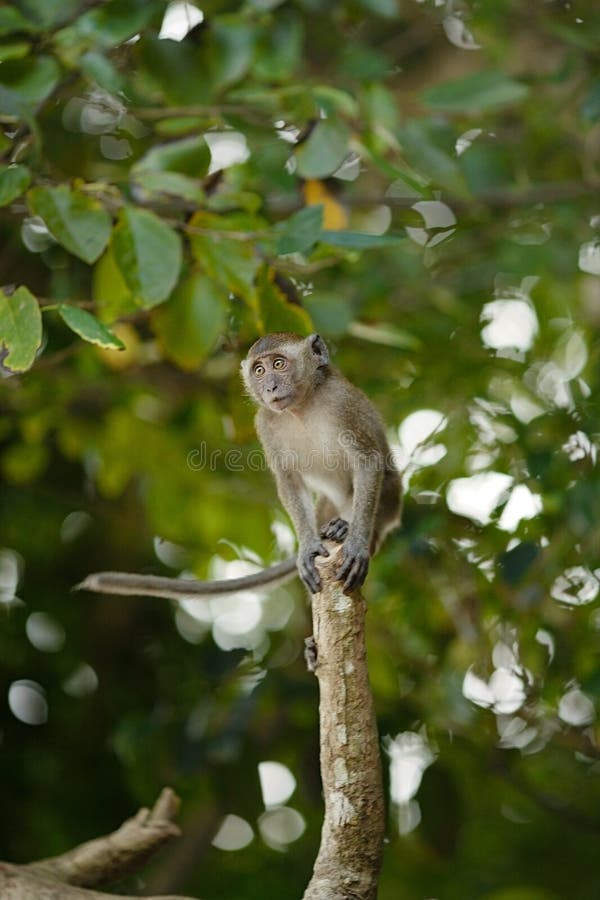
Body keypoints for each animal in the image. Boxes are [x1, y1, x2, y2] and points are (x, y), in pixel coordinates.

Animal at [78, 333, 401, 600]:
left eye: (279, 364)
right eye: (259, 371)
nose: (270, 386)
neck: (301, 407)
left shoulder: (341, 403)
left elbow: (367, 461)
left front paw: (356, 543)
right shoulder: (265, 423)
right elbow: (289, 480)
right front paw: (307, 547)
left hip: (387, 501)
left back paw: (345, 526)